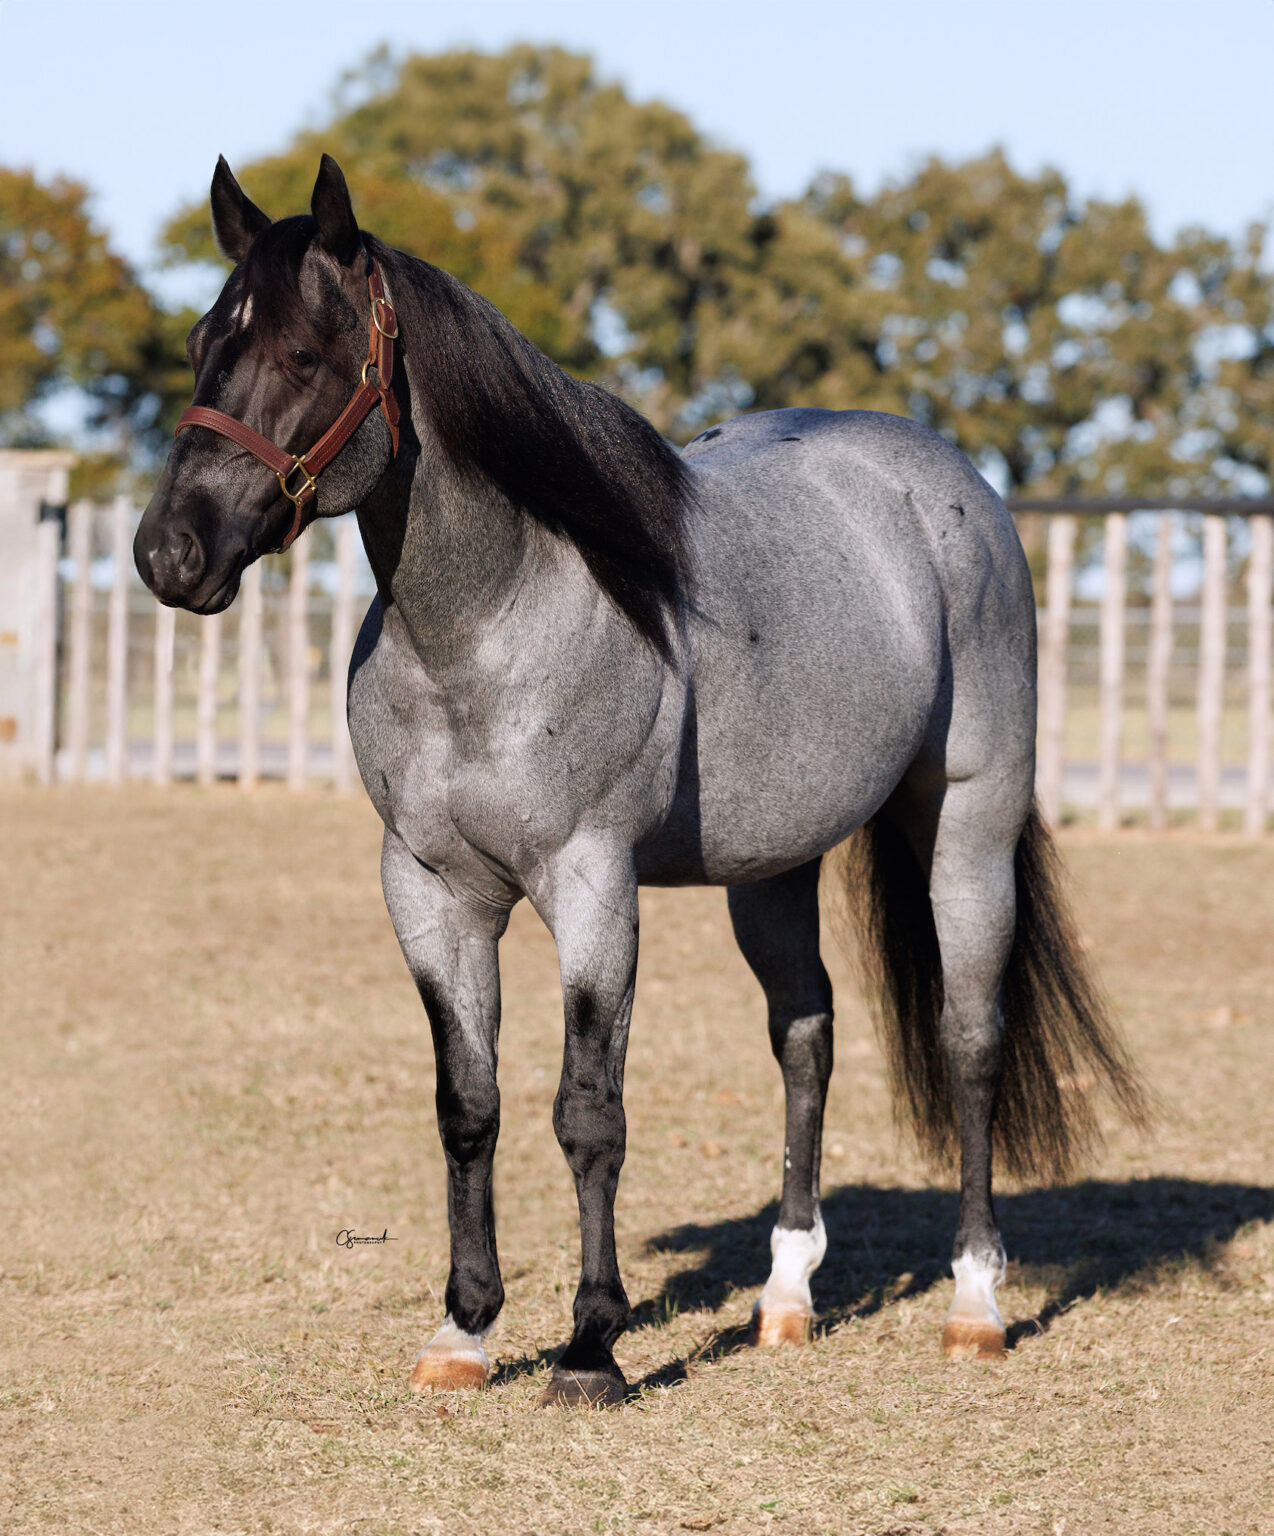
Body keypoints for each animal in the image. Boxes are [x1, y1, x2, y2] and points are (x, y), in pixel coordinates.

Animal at [135, 155, 1146, 1408]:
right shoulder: (426, 892)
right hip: (772, 866)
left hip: (965, 824)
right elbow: (467, 1107)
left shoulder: (591, 890)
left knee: (969, 1039)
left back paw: (973, 1303)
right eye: (199, 344)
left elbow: (586, 1113)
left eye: (305, 358)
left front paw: (589, 1346)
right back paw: (783, 1299)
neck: (485, 630)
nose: (169, 553)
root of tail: (947, 484)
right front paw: (464, 1329)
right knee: (804, 1033)